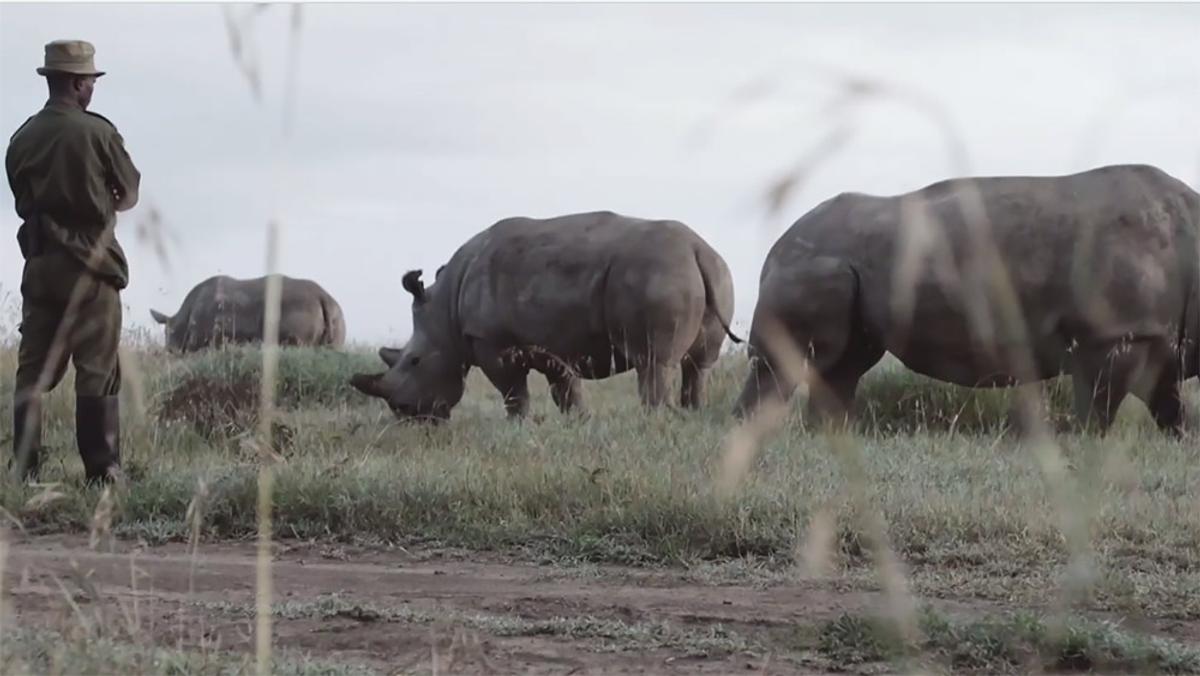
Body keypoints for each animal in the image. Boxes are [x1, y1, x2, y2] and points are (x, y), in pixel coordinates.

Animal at [150, 275, 346, 353]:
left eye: (168, 333)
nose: (169, 350)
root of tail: (324, 296)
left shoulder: (203, 340)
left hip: (298, 307)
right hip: (336, 313)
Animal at [350, 211, 740, 421]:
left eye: (414, 361)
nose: (407, 414)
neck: (445, 313)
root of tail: (696, 249)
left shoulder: (490, 341)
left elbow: (512, 391)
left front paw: (518, 426)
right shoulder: (550, 344)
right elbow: (564, 388)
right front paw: (579, 423)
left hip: (658, 273)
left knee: (653, 363)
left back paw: (652, 421)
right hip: (714, 271)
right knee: (698, 365)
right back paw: (692, 415)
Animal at [734, 164, 1199, 435]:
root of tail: (773, 246)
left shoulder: (1156, 338)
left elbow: (1168, 404)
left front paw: (1181, 442)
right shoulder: (1117, 332)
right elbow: (1100, 409)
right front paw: (1087, 448)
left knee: (845, 365)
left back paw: (831, 438)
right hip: (812, 261)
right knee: (790, 362)